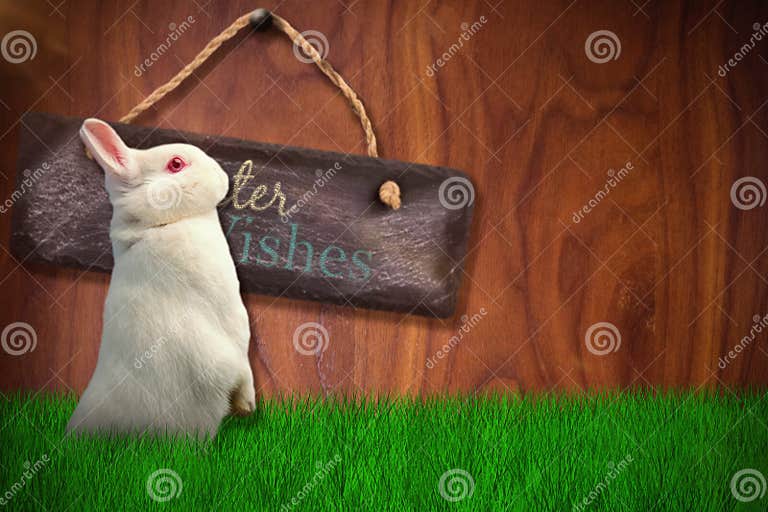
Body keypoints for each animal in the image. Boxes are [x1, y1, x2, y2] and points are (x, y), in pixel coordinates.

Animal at [66, 118, 255, 439]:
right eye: (176, 164)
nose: (221, 175)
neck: (159, 225)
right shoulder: (232, 323)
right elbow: (244, 369)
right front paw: (248, 406)